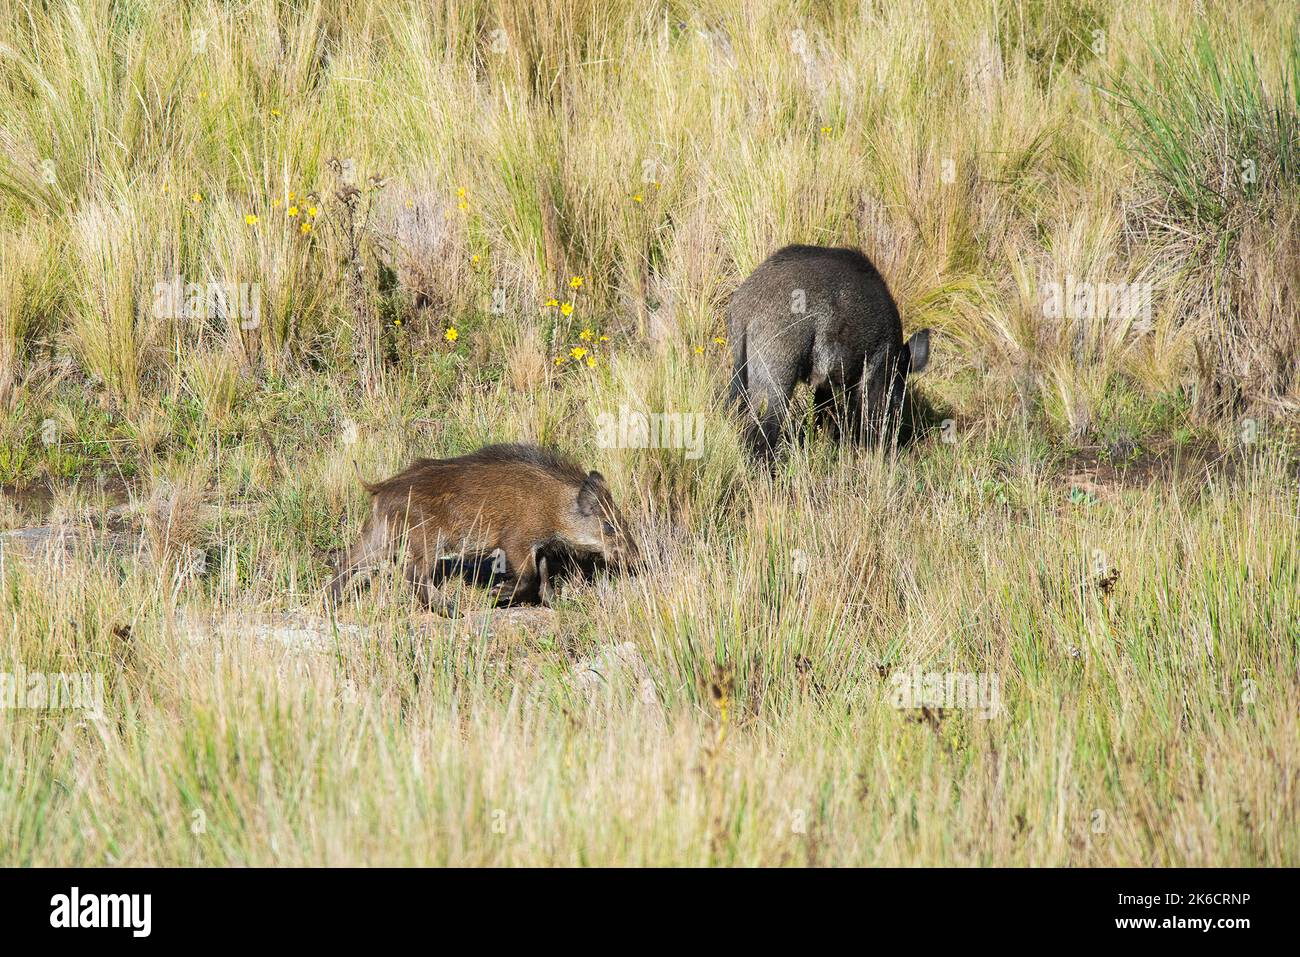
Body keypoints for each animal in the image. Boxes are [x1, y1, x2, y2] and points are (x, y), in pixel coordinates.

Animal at [328, 443, 640, 609]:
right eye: (609, 526)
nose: (637, 559)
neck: (553, 505)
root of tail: (381, 486)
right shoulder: (515, 541)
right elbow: (529, 576)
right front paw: (494, 595)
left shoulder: (538, 547)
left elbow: (544, 575)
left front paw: (557, 605)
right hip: (424, 539)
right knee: (413, 575)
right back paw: (451, 610)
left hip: (379, 535)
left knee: (346, 562)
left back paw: (331, 603)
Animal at [726, 244, 931, 457]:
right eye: (897, 403)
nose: (889, 452)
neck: (891, 357)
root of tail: (747, 307)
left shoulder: (826, 383)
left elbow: (821, 410)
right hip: (777, 371)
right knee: (766, 428)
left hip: (741, 368)